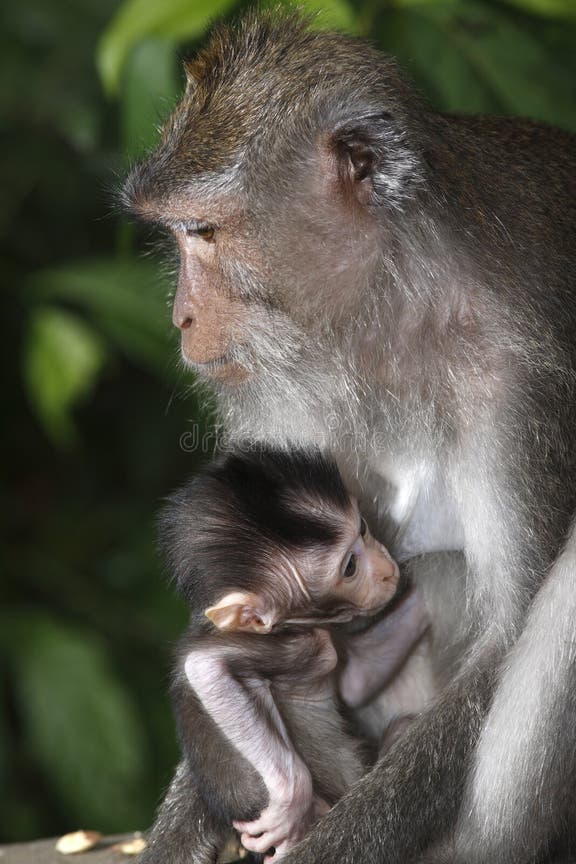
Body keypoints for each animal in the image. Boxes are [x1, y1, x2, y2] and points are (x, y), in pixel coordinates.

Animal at [161, 448, 431, 863]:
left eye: (363, 528)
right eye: (350, 567)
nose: (388, 570)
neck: (293, 624)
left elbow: (356, 683)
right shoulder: (299, 646)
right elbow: (206, 668)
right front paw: (291, 801)